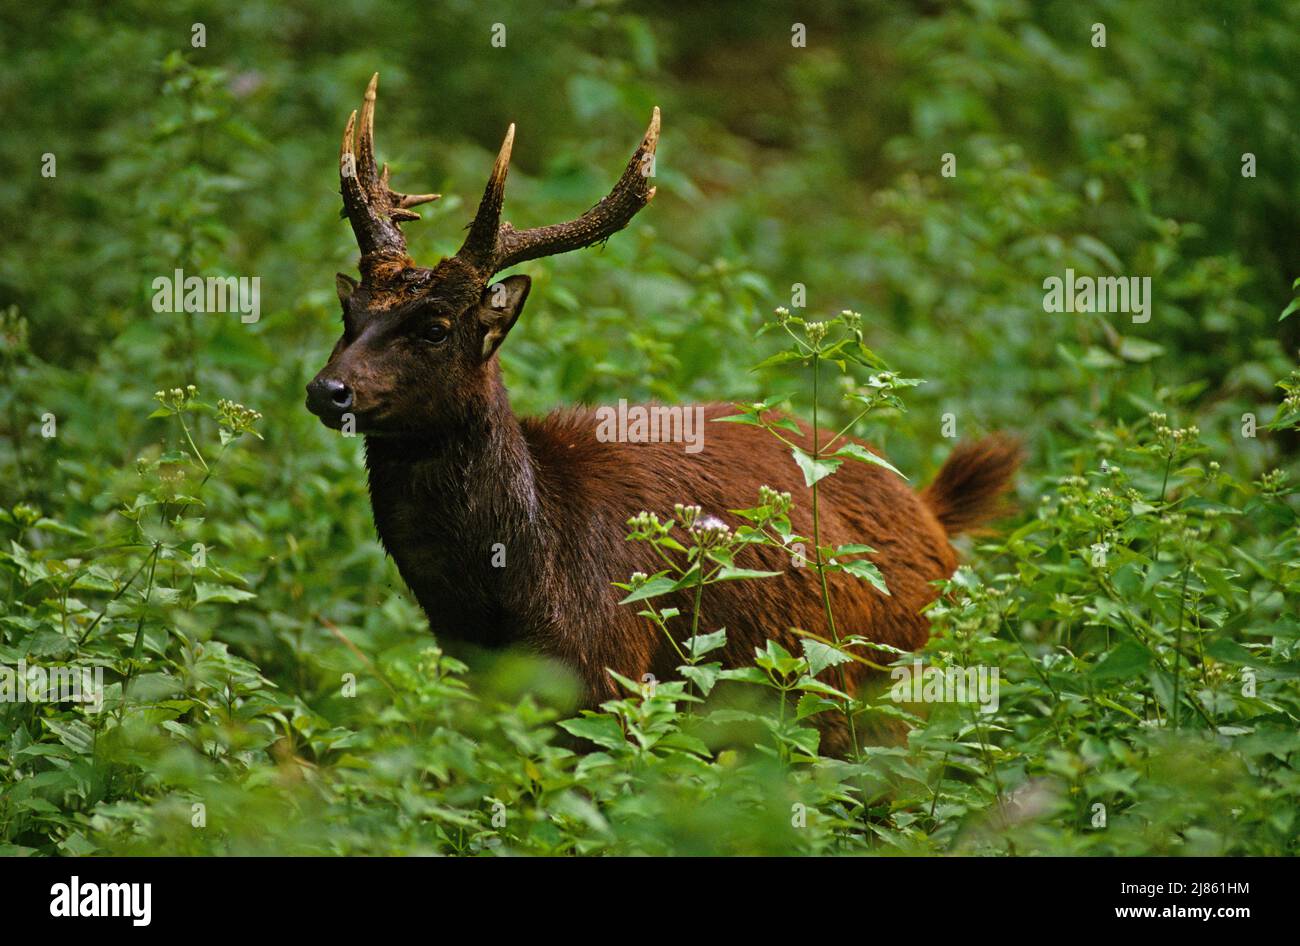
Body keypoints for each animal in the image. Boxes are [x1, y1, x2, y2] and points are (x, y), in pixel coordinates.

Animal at [307, 75, 1022, 755]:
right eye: (350, 312)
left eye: (435, 327)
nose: (326, 390)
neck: (517, 590)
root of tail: (932, 514)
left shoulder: (614, 678)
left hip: (885, 692)